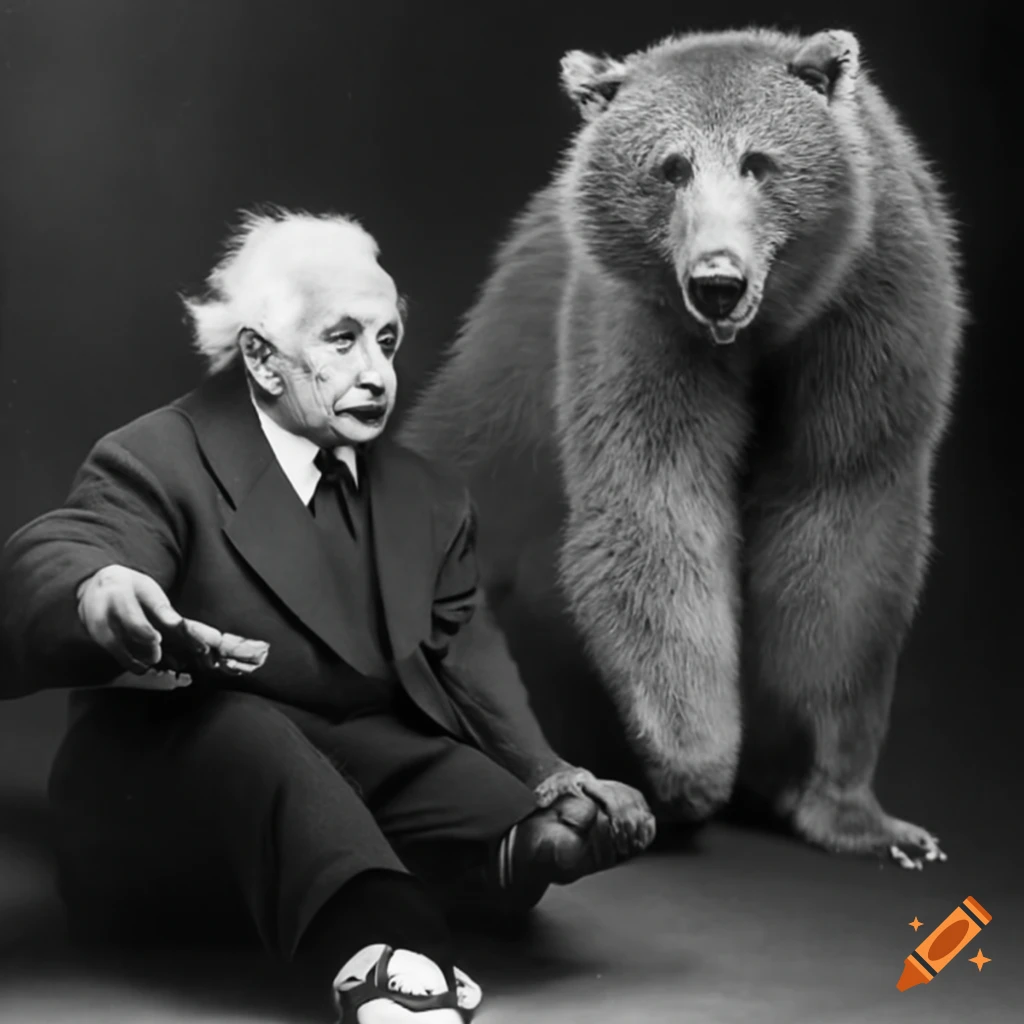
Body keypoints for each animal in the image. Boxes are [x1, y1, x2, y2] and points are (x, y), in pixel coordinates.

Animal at [398, 27, 963, 868]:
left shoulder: (874, 310)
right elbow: (653, 504)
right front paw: (695, 764)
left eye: (760, 161)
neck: (769, 327)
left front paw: (860, 814)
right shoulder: (637, 322)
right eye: (670, 167)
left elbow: (840, 525)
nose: (717, 280)